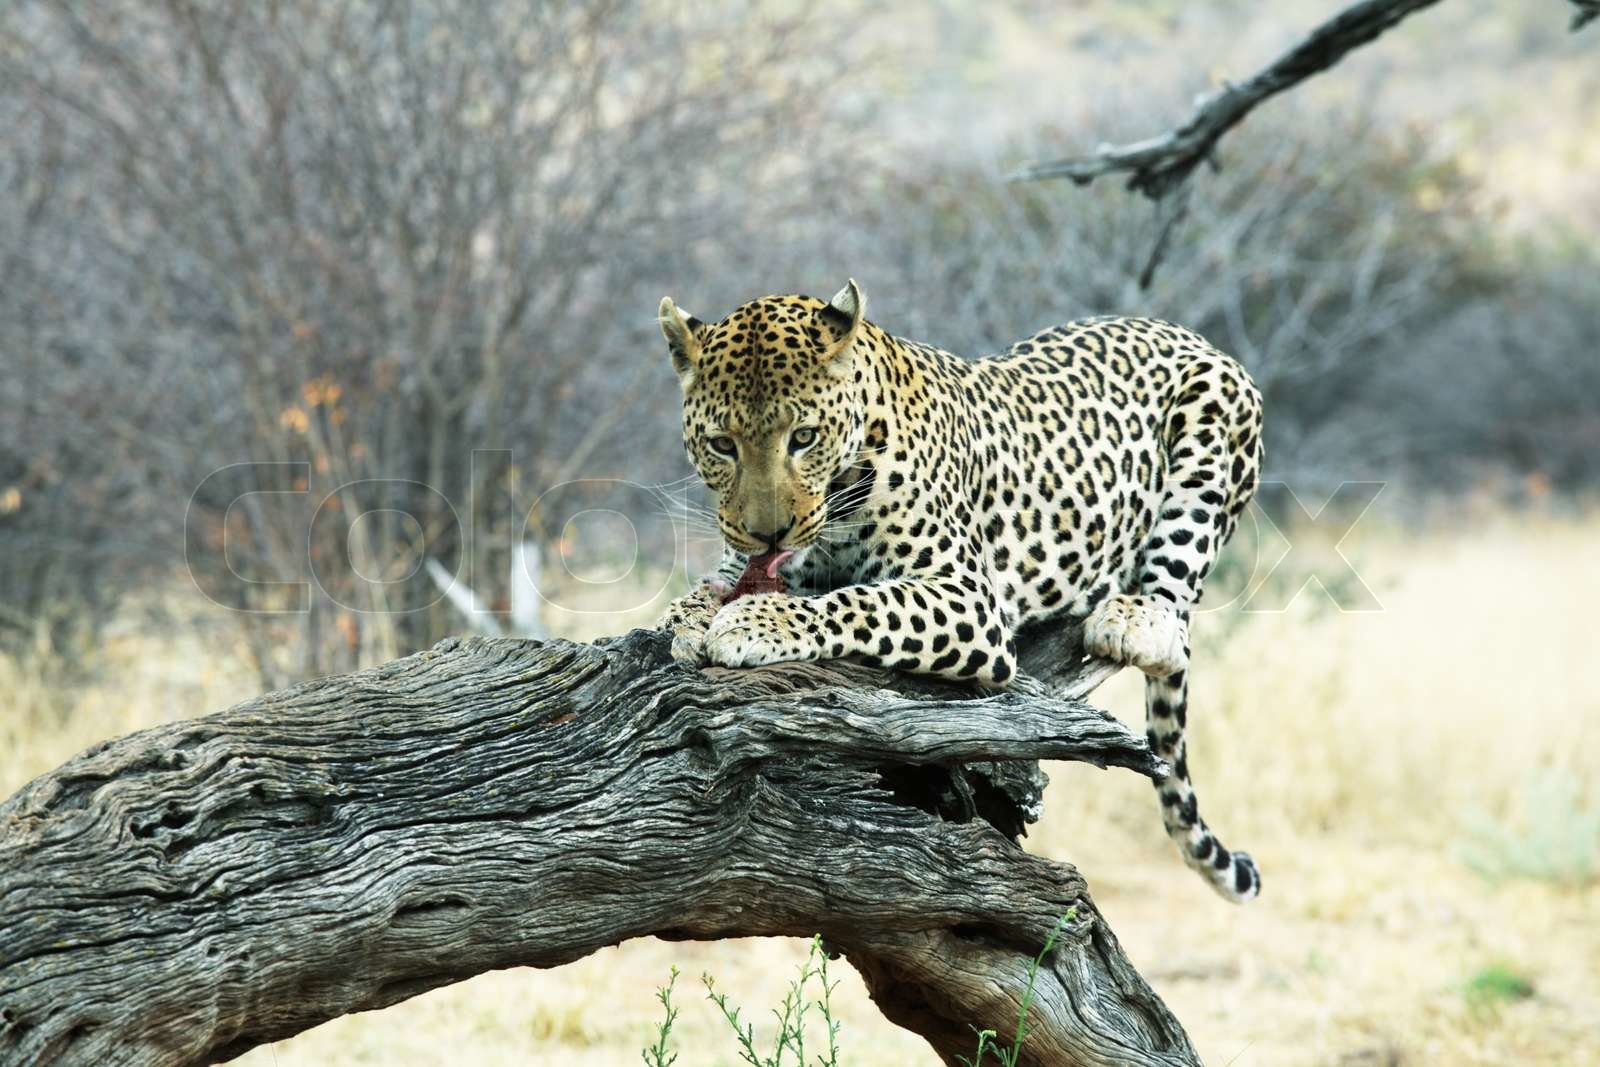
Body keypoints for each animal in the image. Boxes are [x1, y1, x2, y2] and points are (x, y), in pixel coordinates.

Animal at [654, 279, 1265, 902]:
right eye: (722, 445)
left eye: (803, 438)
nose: (768, 532)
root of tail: (1185, 332)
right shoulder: (742, 560)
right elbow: (708, 592)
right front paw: (690, 618)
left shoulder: (967, 594)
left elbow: (861, 601)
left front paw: (755, 623)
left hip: (1208, 440)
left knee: (1171, 631)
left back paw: (1132, 620)